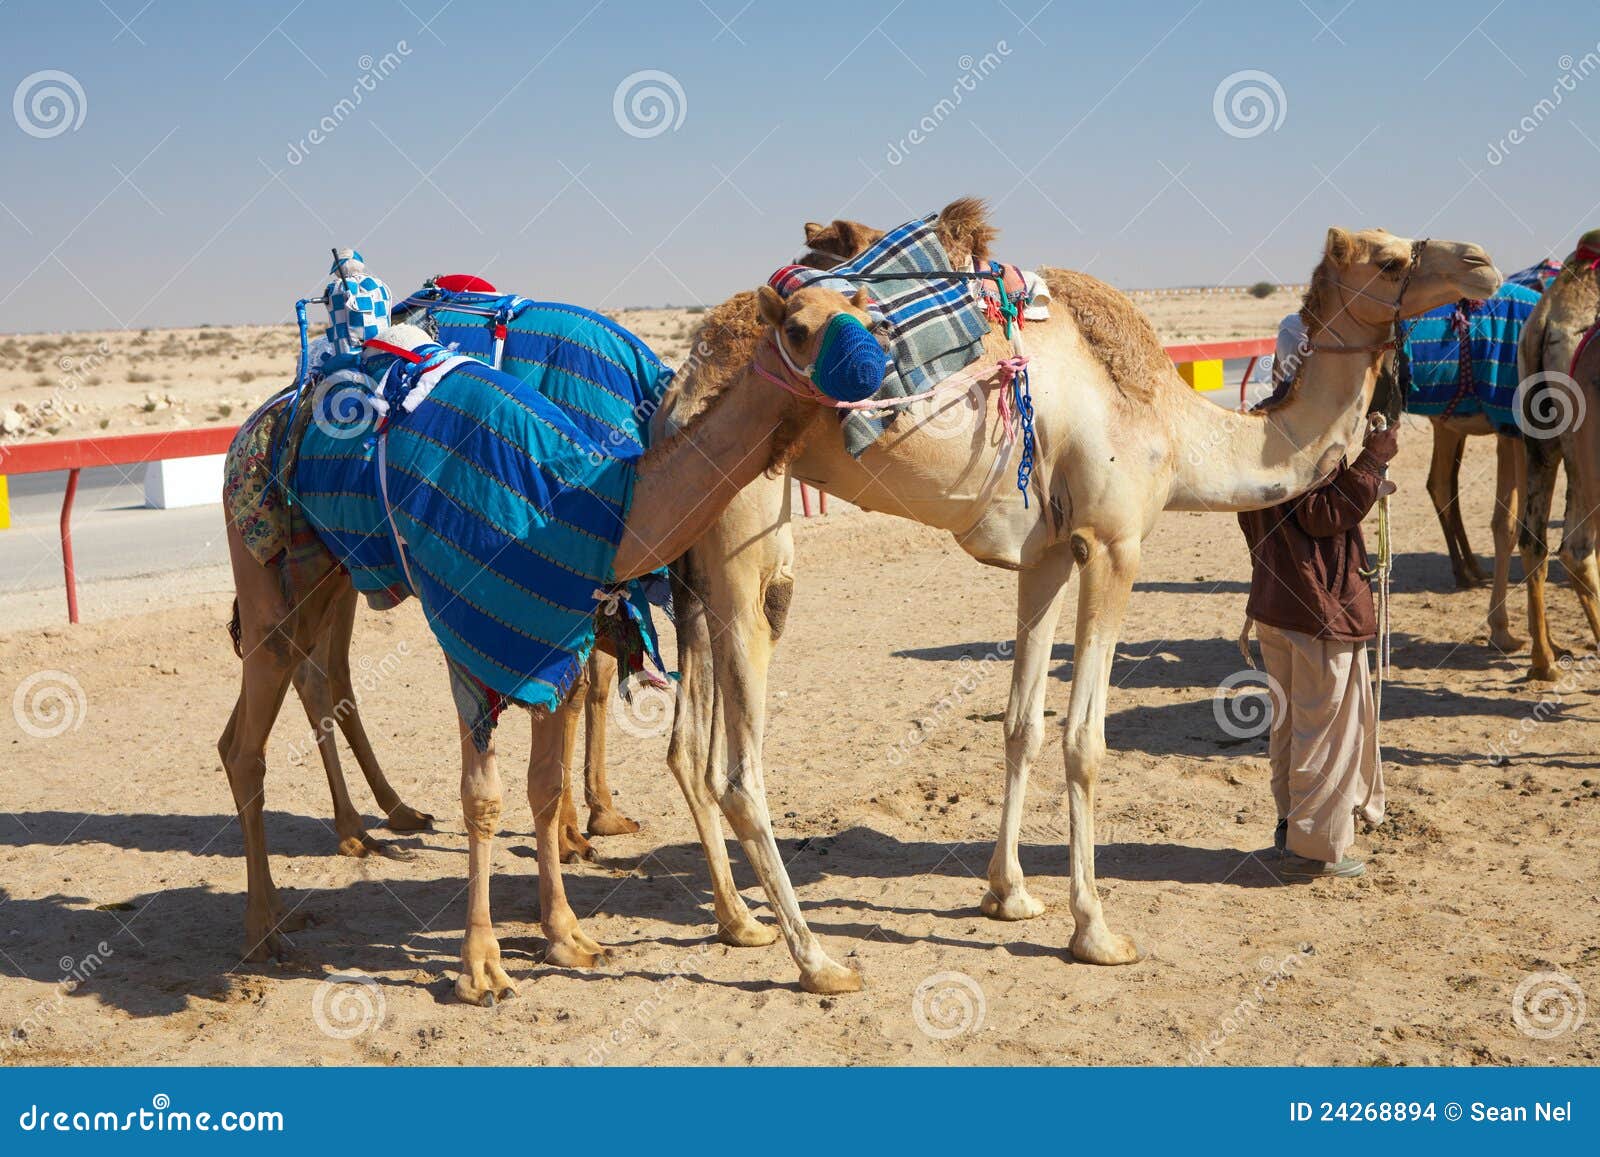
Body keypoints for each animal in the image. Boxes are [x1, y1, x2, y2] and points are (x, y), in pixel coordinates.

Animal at [218, 304, 848, 1003]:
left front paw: (567, 934)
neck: (591, 498)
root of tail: (250, 427)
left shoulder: (560, 628)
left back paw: (362, 837)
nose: (871, 363)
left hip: (331, 571)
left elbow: (545, 781)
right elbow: (485, 798)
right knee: (252, 738)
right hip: (264, 566)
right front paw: (482, 968)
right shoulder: (476, 633)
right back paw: (266, 931)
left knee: (297, 690)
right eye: (801, 326)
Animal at [651, 208, 1500, 990]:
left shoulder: (1049, 554)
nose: (1483, 262)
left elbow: (1021, 725)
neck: (1175, 423)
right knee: (741, 766)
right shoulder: (1114, 543)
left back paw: (741, 921)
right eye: (1391, 260)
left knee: (691, 750)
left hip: (698, 557)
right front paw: (1095, 930)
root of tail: (682, 382)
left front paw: (1010, 895)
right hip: (746, 524)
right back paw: (818, 959)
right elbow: (1084, 741)